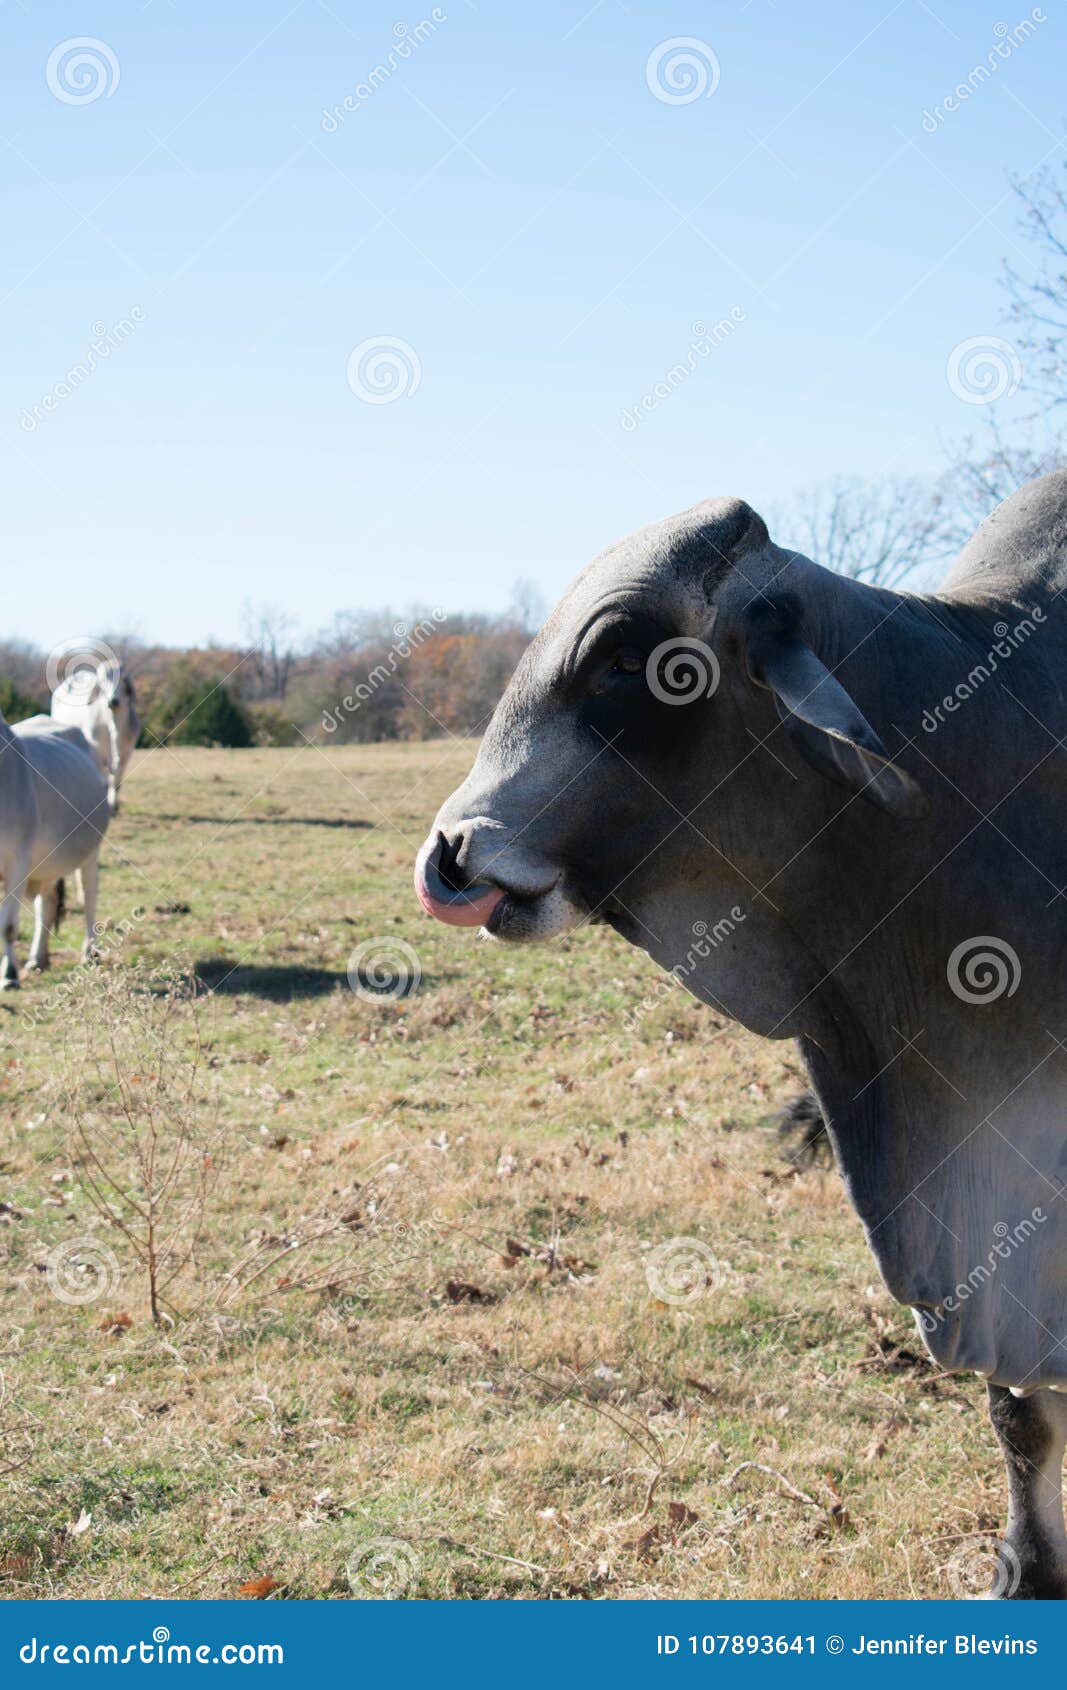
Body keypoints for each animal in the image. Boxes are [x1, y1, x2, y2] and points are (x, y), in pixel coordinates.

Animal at [0, 712, 110, 986]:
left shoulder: (18, 860)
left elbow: (8, 926)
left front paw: (9, 975)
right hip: (46, 864)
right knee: (47, 903)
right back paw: (38, 958)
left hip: (90, 852)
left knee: (89, 896)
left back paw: (89, 953)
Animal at [50, 660, 140, 815]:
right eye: (102, 681)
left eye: (123, 679)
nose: (113, 701)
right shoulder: (96, 753)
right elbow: (104, 782)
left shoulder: (126, 754)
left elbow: (116, 782)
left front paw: (114, 806)